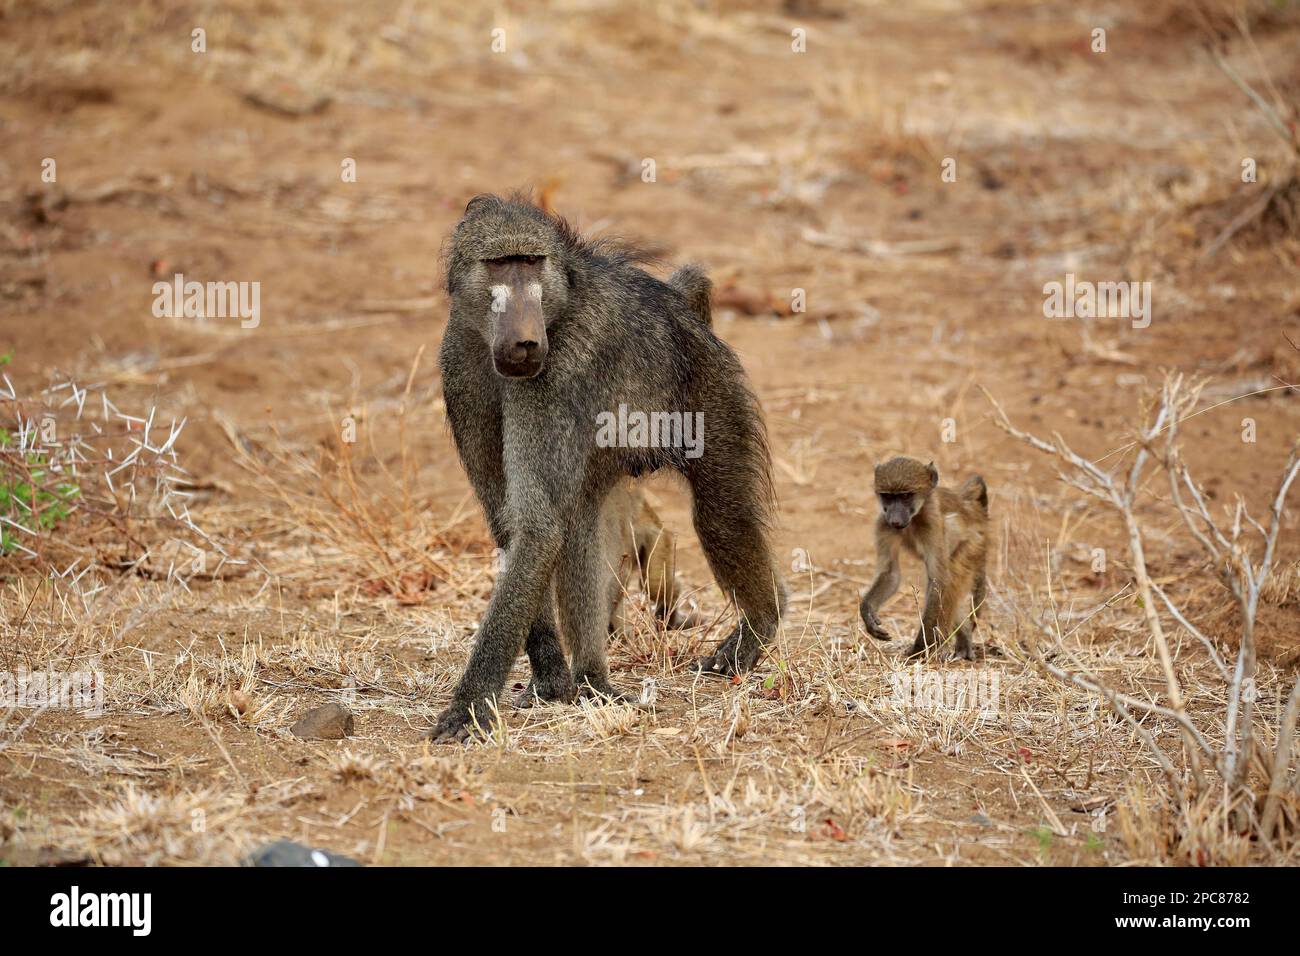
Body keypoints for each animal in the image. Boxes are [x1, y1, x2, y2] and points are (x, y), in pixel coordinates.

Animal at [431, 192, 785, 741]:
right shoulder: (459, 366)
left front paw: (469, 705)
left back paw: (757, 628)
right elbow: (516, 525)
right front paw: (549, 677)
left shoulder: (555, 374)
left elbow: (538, 527)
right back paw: (589, 680)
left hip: (712, 394)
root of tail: (681, 308)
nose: (526, 341)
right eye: (501, 263)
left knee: (720, 516)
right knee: (580, 519)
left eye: (532, 262)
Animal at [859, 456, 988, 660]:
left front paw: (919, 647)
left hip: (973, 544)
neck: (914, 518)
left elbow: (939, 582)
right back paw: (963, 641)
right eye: (888, 496)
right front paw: (868, 612)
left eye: (905, 496)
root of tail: (974, 511)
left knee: (952, 580)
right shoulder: (883, 523)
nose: (895, 520)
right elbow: (890, 573)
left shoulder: (933, 522)